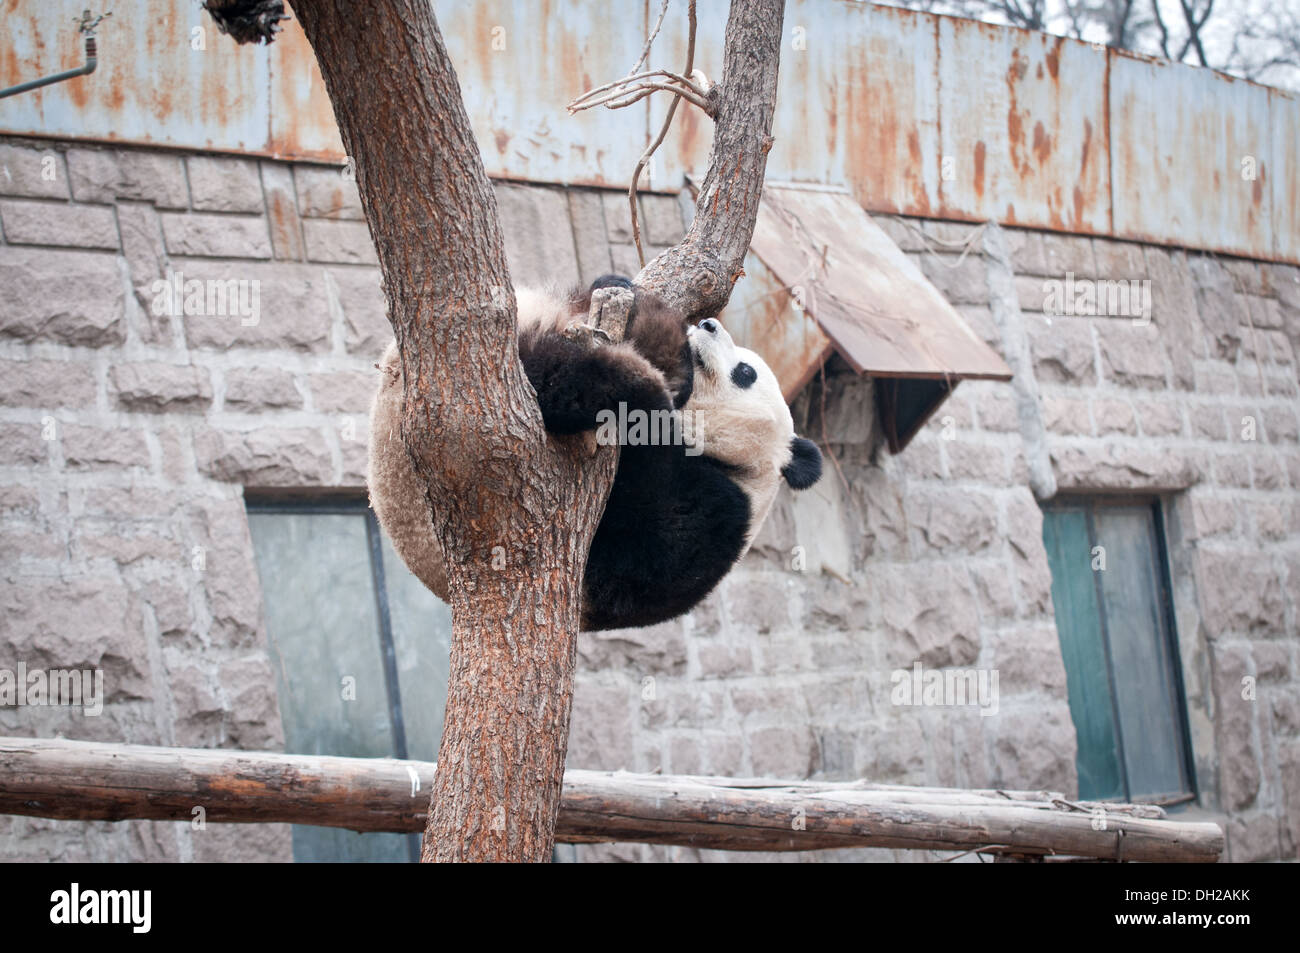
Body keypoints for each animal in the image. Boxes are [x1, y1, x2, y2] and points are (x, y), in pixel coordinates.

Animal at [367, 275, 822, 631]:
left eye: (746, 373)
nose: (709, 324)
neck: (741, 466)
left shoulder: (718, 516)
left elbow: (646, 550)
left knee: (553, 375)